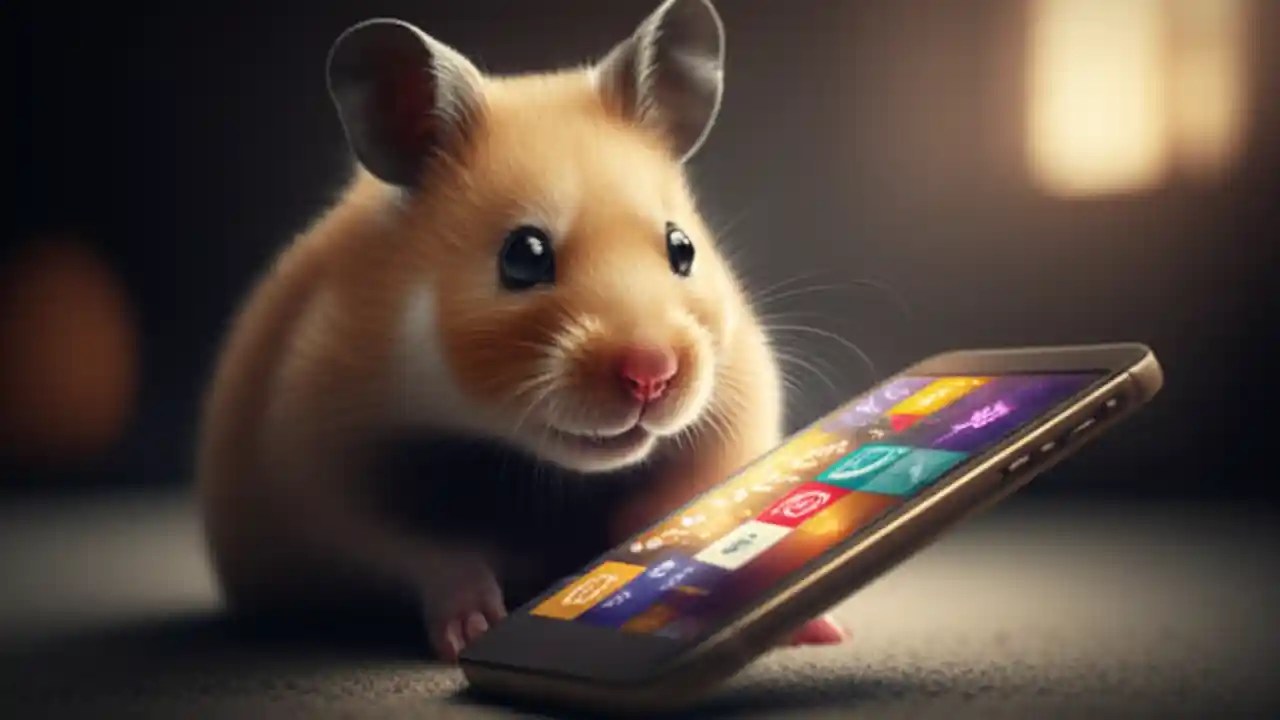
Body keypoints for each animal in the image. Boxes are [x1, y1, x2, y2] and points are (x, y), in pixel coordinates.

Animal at [196, 0, 845, 661]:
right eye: (525, 256)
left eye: (682, 247)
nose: (652, 375)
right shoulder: (323, 464)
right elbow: (428, 553)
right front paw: (471, 631)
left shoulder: (731, 418)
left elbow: (682, 507)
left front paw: (812, 625)